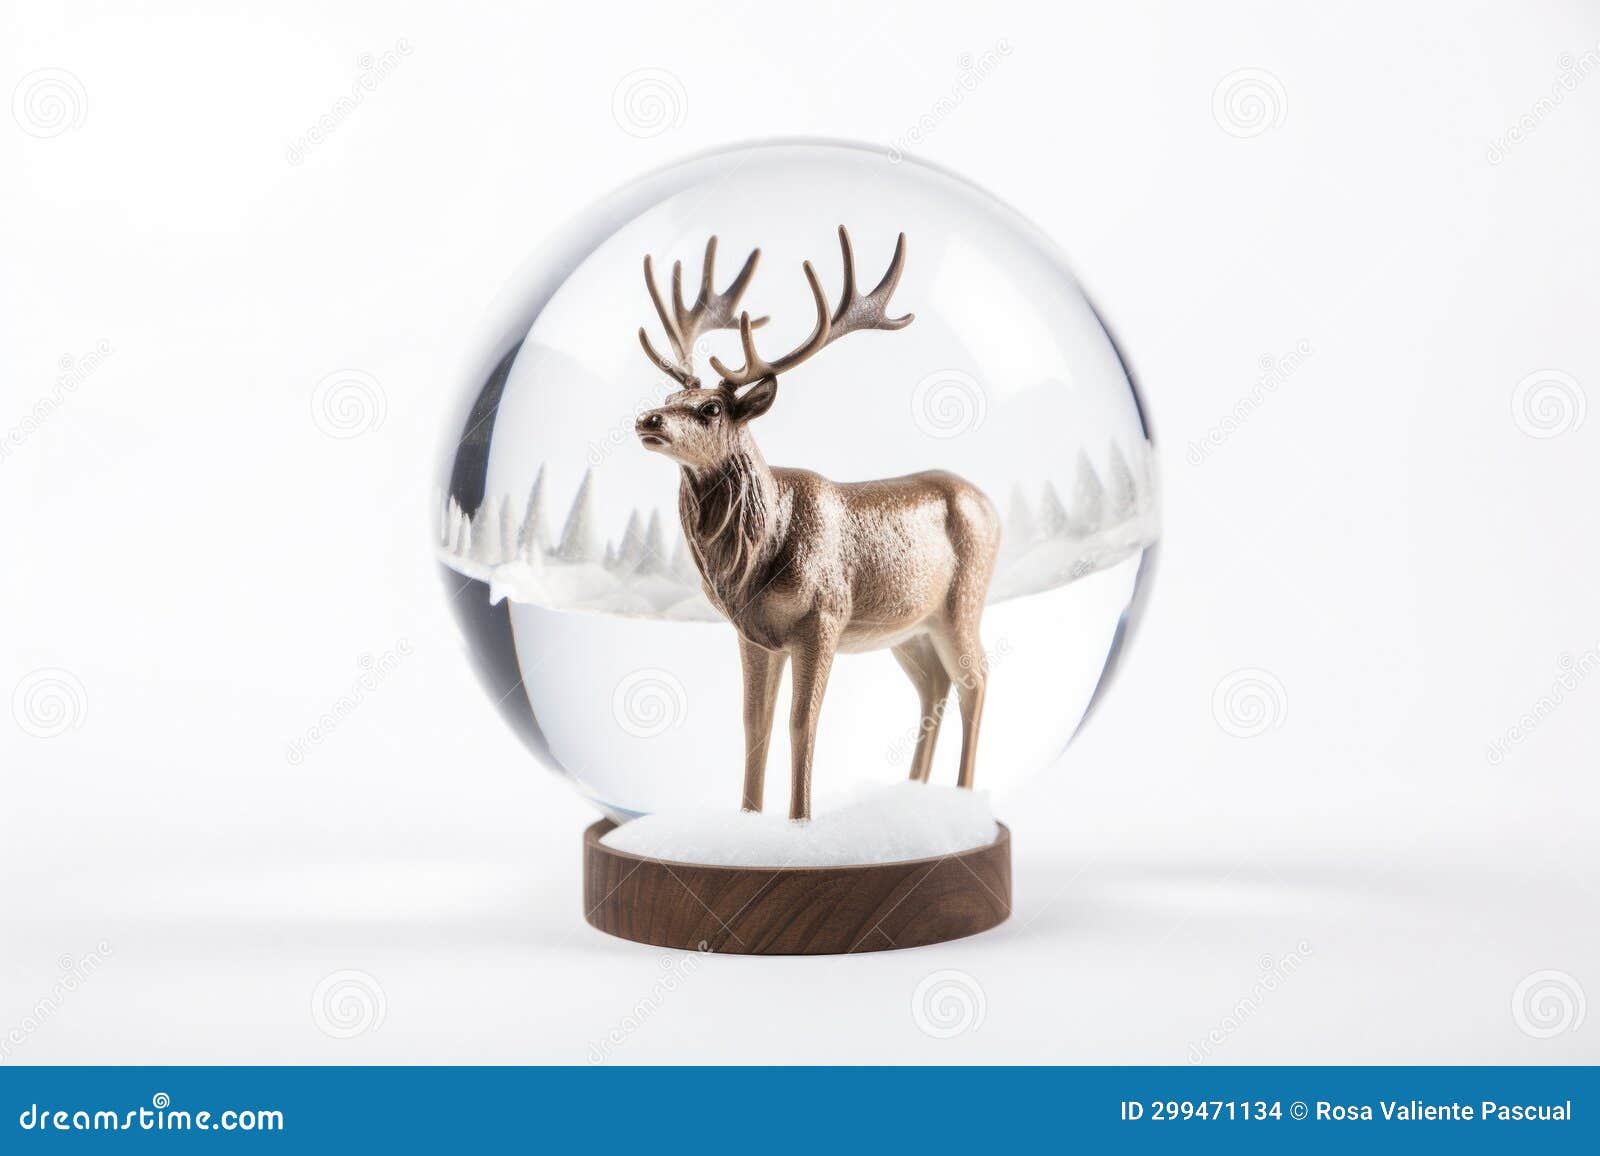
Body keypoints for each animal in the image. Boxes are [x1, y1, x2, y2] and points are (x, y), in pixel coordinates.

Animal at [634, 228, 1000, 821]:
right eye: (671, 397)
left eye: (711, 408)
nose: (647, 419)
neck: (751, 562)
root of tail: (990, 505)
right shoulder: (754, 632)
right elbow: (753, 722)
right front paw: (748, 818)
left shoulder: (823, 616)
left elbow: (802, 722)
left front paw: (801, 821)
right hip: (909, 626)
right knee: (934, 684)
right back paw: (911, 795)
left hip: (963, 602)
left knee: (977, 679)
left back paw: (964, 800)